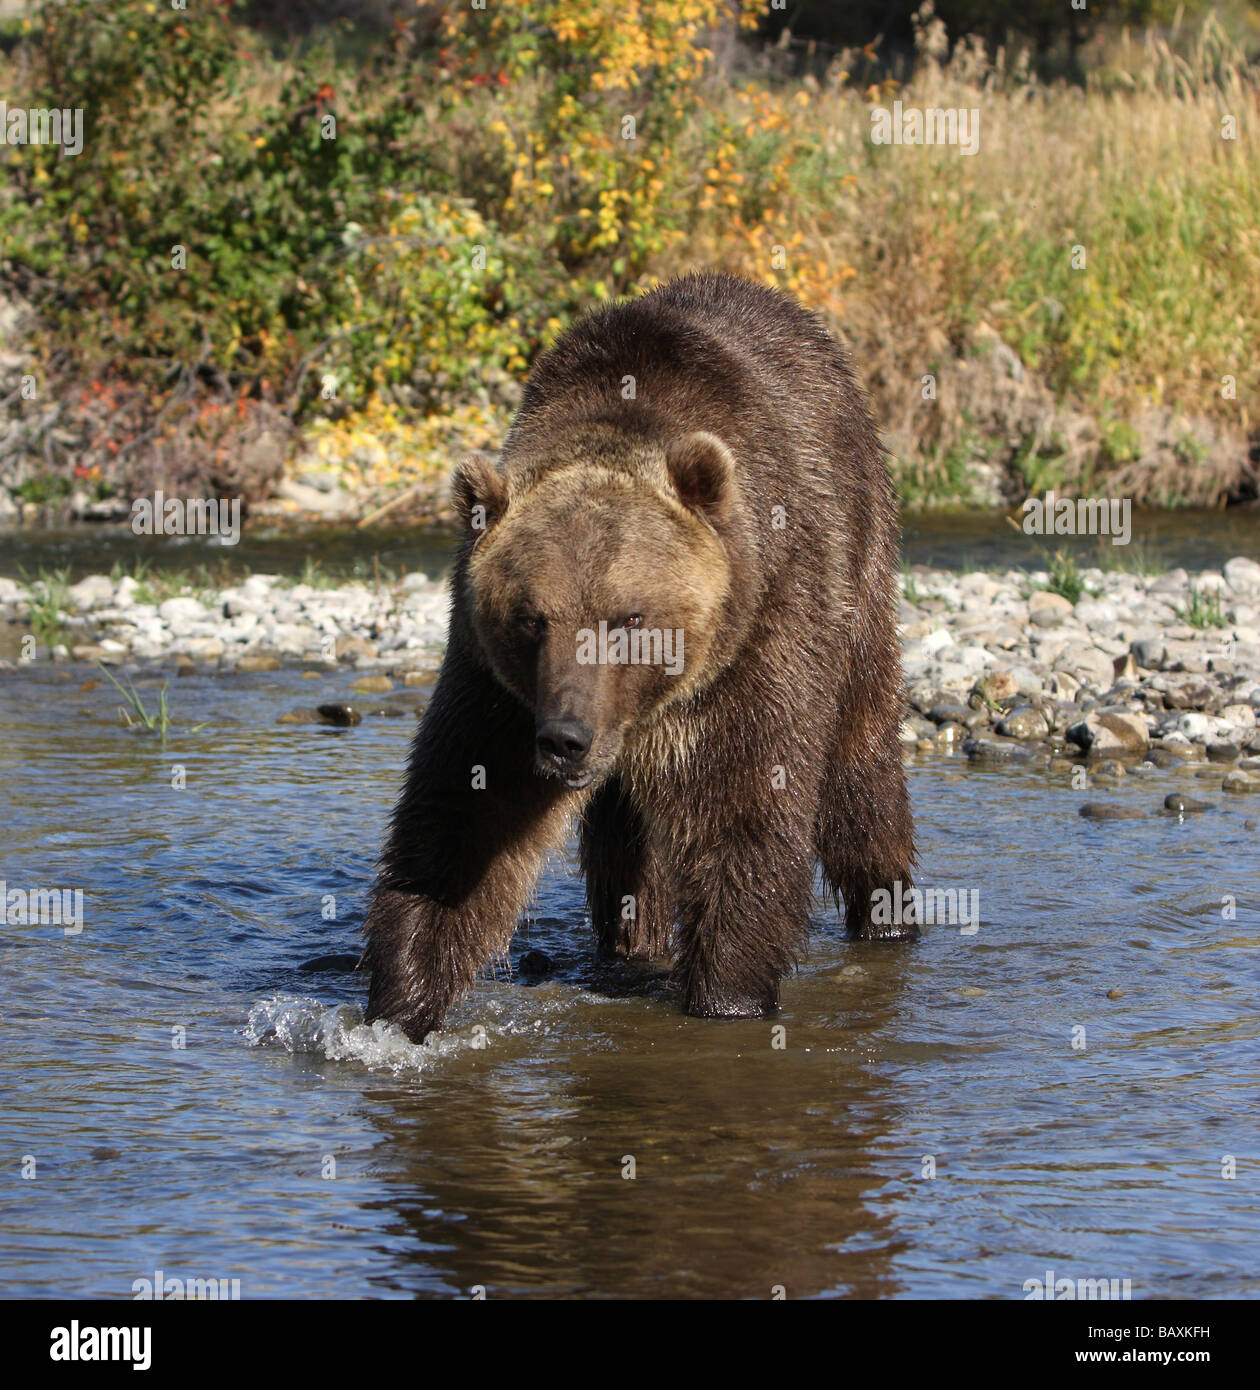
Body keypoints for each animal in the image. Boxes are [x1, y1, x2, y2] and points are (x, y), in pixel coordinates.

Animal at [362, 270, 916, 1042]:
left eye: (628, 617)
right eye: (530, 618)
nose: (565, 739)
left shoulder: (757, 635)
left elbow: (745, 808)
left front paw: (726, 997)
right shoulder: (495, 686)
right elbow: (462, 821)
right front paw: (397, 1009)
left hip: (858, 568)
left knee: (862, 761)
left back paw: (887, 911)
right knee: (625, 846)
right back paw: (632, 943)